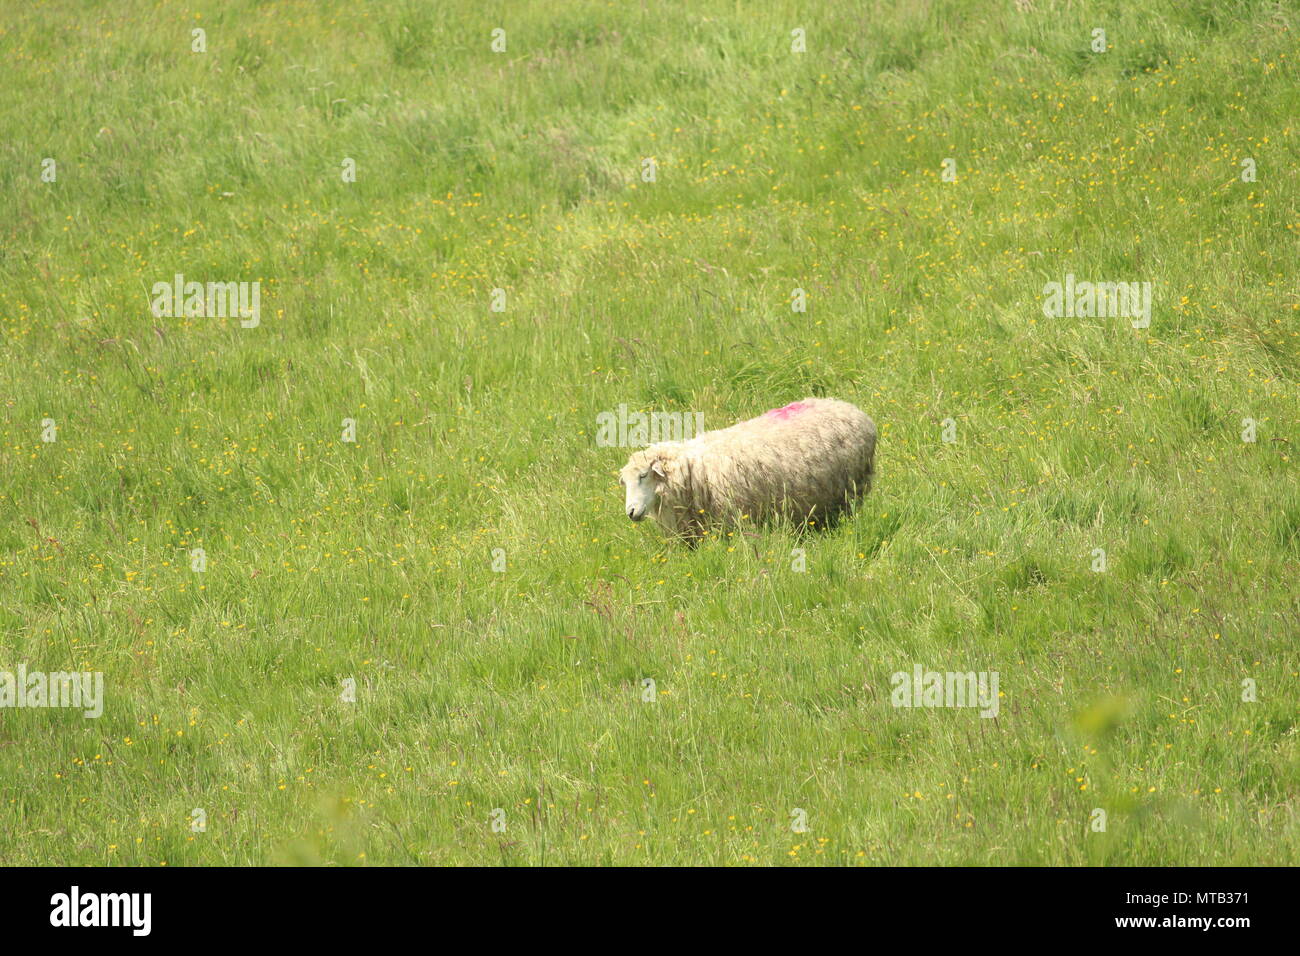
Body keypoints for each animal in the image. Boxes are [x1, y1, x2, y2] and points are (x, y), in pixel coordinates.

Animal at [618, 397, 876, 544]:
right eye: (625, 483)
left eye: (643, 476)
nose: (630, 512)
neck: (694, 471)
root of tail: (849, 407)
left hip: (854, 488)